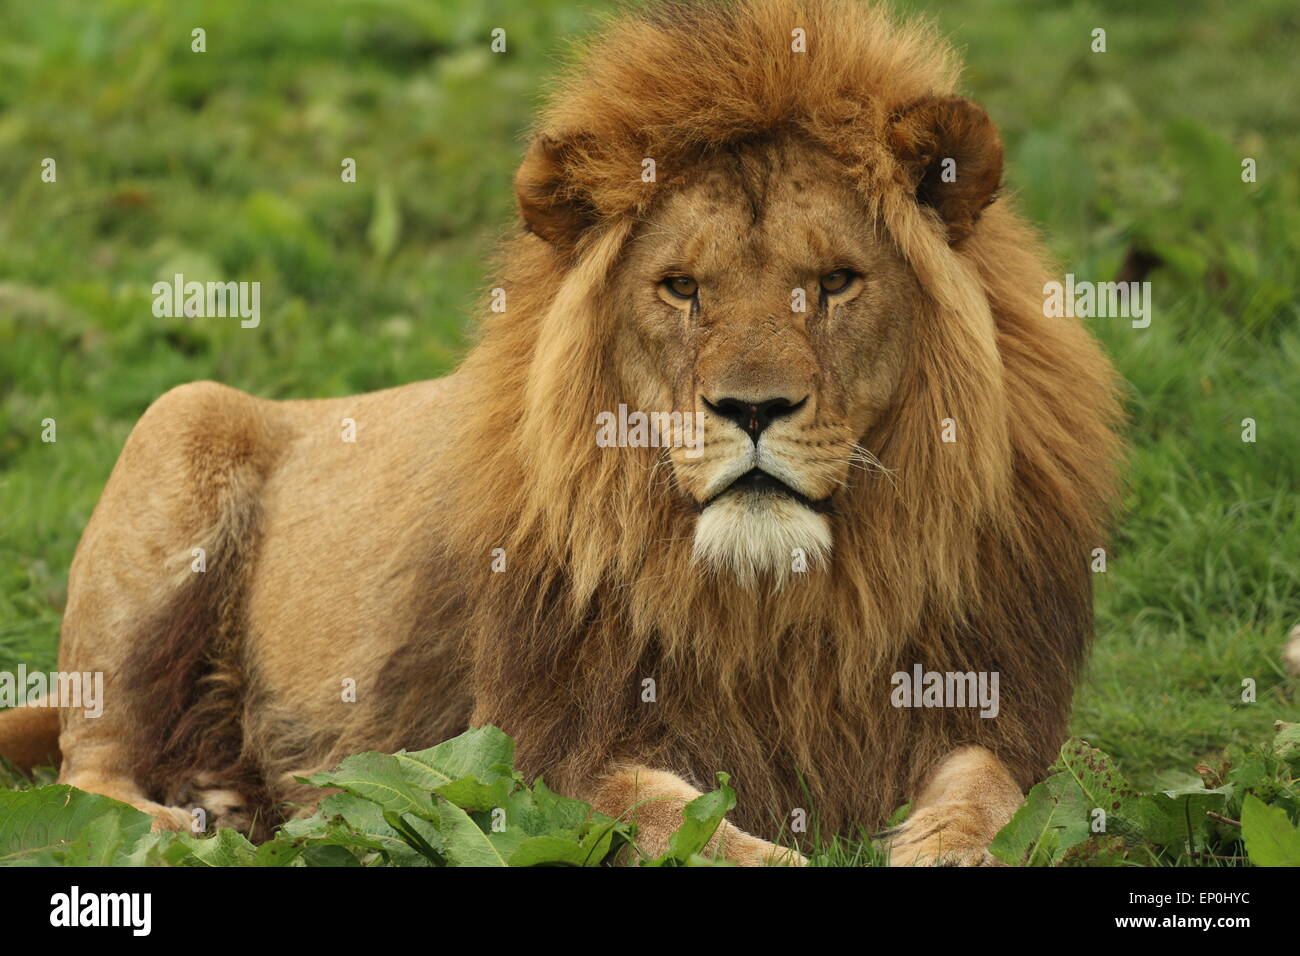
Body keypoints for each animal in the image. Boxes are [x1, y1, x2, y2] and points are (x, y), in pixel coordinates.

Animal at [0, 0, 1122, 866]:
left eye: (837, 282)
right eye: (682, 287)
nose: (752, 409)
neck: (779, 604)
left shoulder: (993, 708)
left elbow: (990, 803)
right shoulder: (542, 756)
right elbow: (692, 831)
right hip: (180, 425)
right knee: (86, 767)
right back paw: (188, 823)